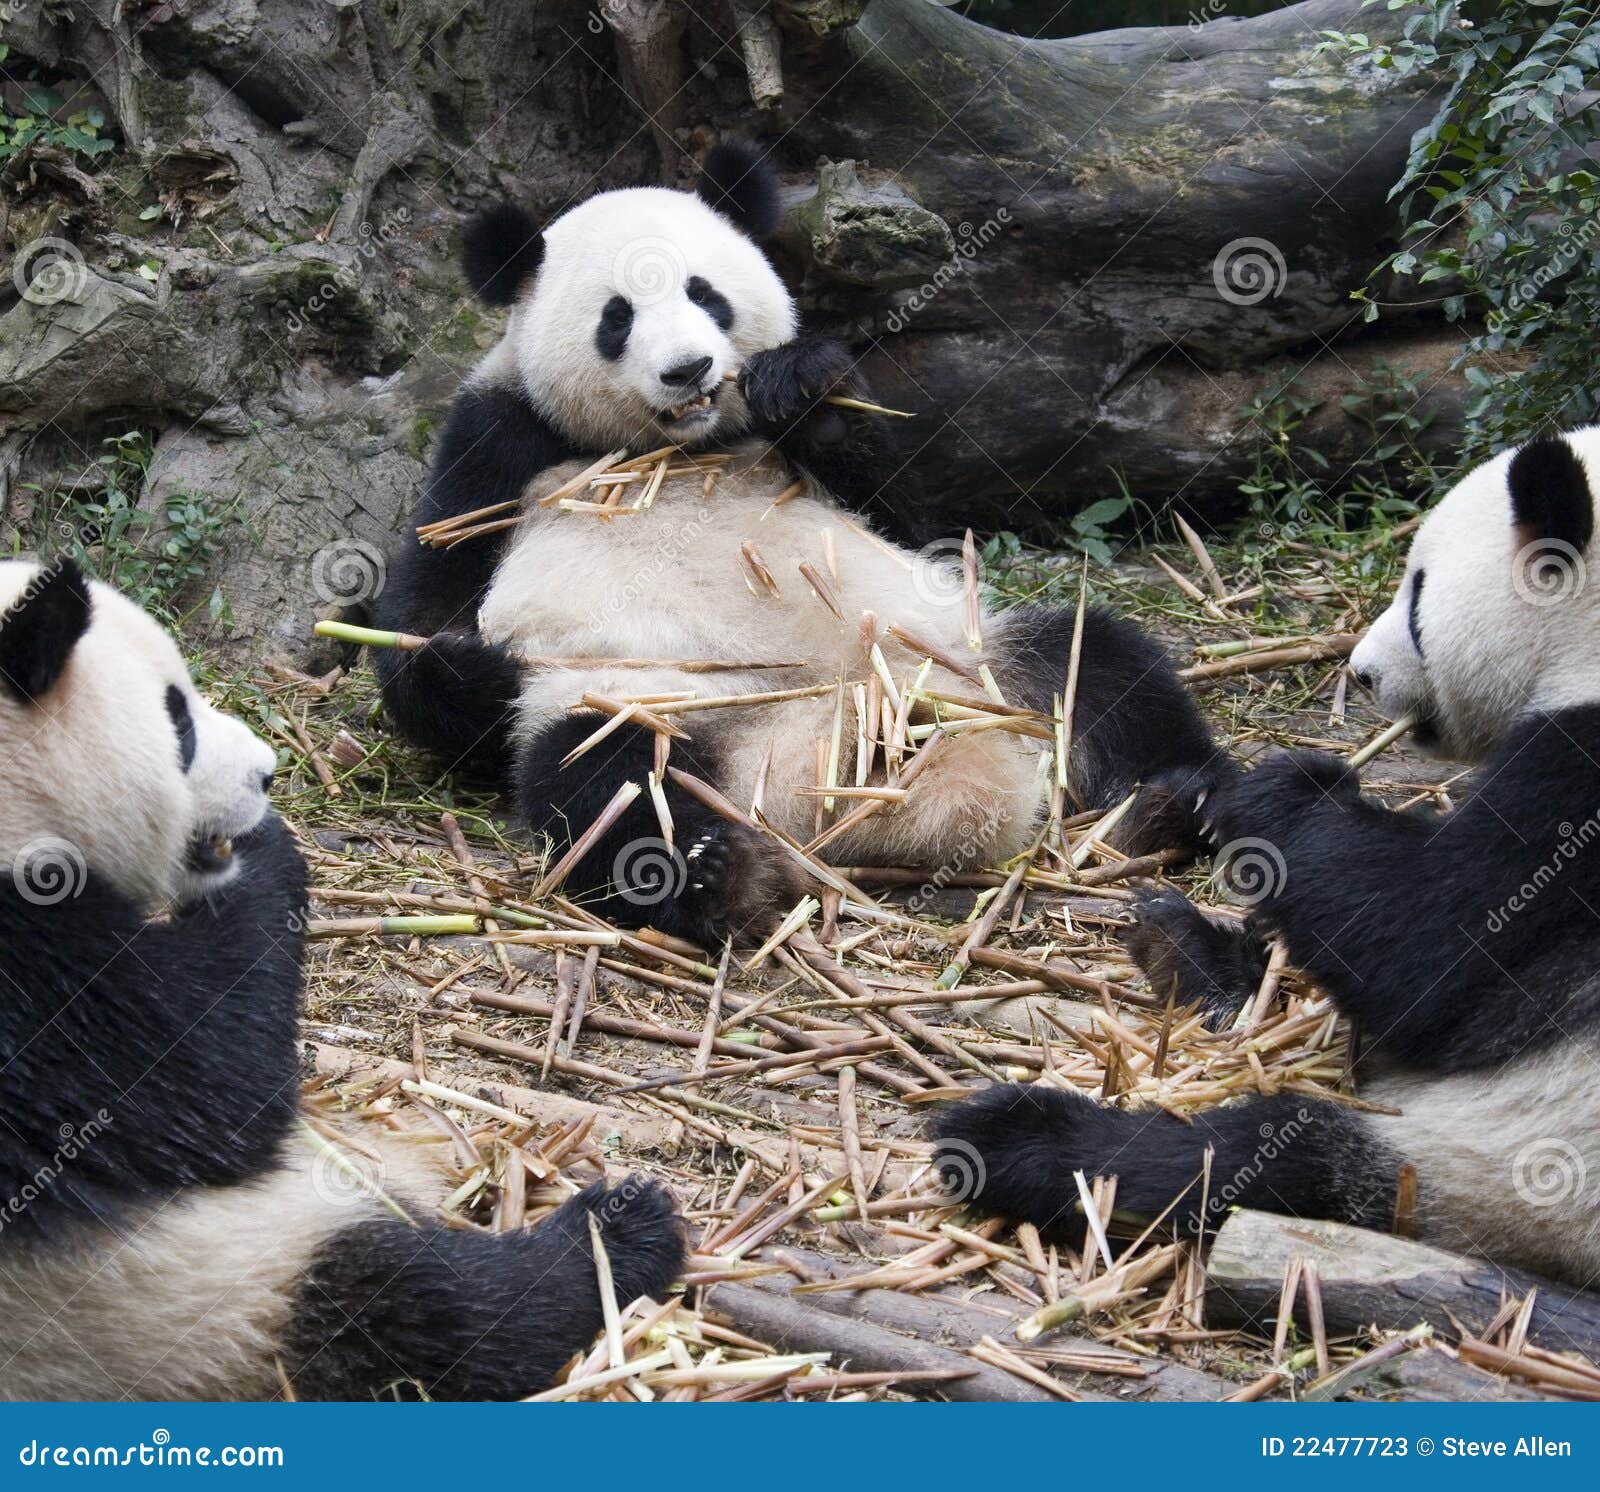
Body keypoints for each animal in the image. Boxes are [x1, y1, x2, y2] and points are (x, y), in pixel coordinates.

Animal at [0, 558, 683, 1400]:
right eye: (177, 720)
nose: (266, 773)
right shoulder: (27, 982)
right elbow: (202, 1082)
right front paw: (268, 855)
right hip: (197, 1302)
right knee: (422, 1309)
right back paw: (617, 1233)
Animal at [374, 141, 1227, 946]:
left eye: (704, 294)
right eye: (617, 318)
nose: (689, 370)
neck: (681, 449)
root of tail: (826, 769)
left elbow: (912, 523)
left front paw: (806, 389)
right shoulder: (498, 442)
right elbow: (430, 597)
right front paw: (468, 664)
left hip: (968, 659)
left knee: (1100, 663)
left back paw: (1176, 803)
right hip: (646, 705)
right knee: (606, 781)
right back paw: (721, 876)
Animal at [933, 430, 1600, 1287]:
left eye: (1419, 595)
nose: (1362, 673)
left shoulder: (1583, 785)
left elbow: (1431, 948)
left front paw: (1286, 790)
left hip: (1503, 1157)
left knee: (1246, 1156)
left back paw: (1019, 1140)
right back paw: (1187, 949)